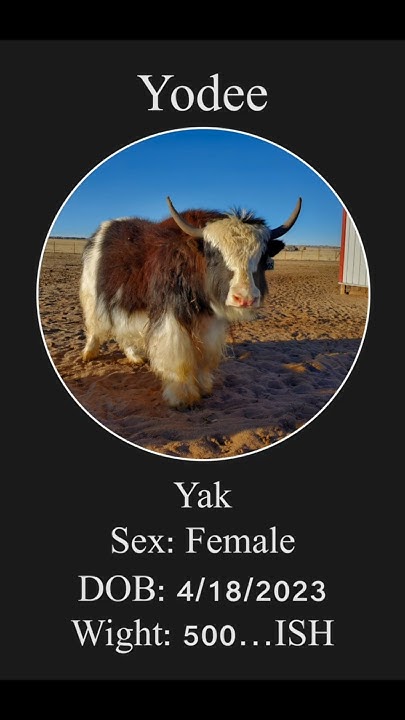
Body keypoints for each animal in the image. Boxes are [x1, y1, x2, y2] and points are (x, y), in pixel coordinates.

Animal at [79, 196, 302, 409]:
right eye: (215, 255)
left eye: (262, 257)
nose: (245, 298)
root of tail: (105, 227)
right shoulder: (170, 317)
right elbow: (178, 357)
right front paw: (182, 398)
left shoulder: (209, 321)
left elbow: (204, 356)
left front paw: (203, 387)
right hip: (92, 293)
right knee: (94, 326)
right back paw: (88, 354)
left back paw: (134, 356)